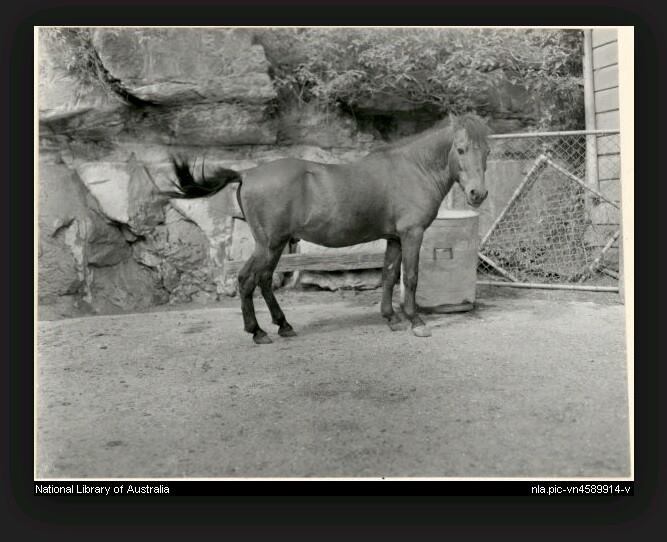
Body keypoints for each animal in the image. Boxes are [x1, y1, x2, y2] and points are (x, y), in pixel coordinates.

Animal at [165, 113, 490, 344]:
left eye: (486, 151)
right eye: (461, 150)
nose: (478, 194)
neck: (413, 168)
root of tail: (247, 173)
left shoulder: (394, 238)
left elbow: (388, 276)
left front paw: (391, 318)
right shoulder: (412, 234)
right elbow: (409, 278)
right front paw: (416, 322)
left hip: (274, 244)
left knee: (264, 280)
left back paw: (282, 325)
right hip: (268, 244)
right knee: (248, 280)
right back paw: (258, 331)